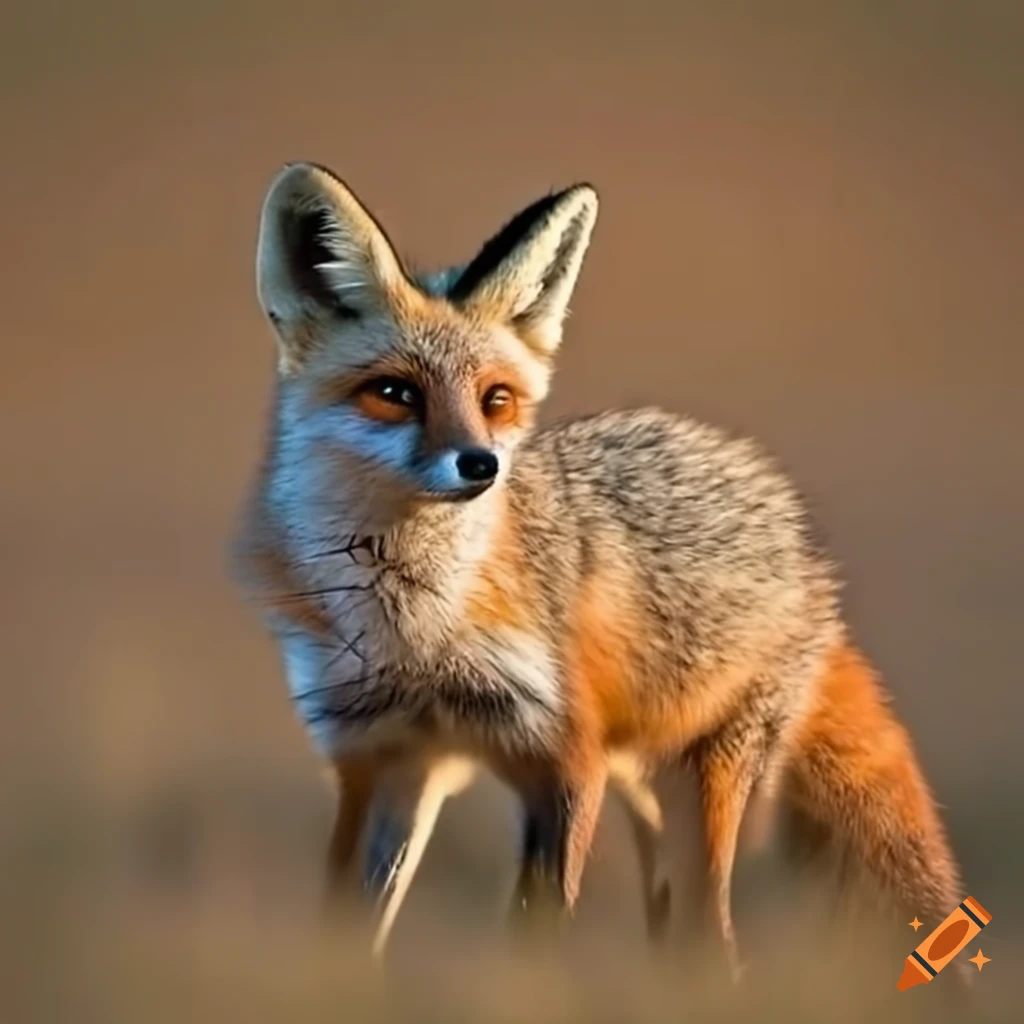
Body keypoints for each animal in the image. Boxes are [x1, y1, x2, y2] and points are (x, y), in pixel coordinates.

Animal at [232, 160, 966, 979]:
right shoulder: (384, 755)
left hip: (702, 789)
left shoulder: (563, 757)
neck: (415, 630)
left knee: (714, 937)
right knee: (678, 930)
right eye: (395, 393)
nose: (480, 464)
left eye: (495, 400)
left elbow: (536, 927)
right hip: (645, 792)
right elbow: (351, 925)